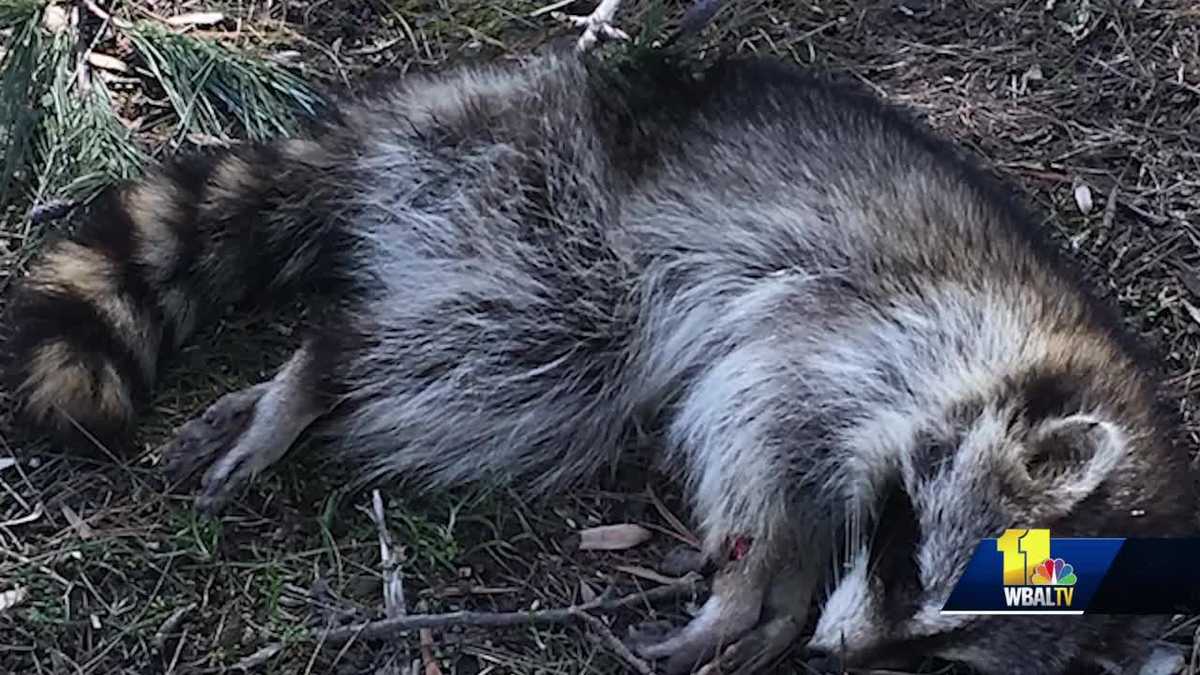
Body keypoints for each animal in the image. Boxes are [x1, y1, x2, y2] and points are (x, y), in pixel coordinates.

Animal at [4, 50, 1196, 675]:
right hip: (556, 214)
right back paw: (320, 371)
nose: (832, 654)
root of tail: (517, 91)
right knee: (513, 350)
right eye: (909, 564)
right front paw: (755, 587)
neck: (1032, 356)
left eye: (933, 657)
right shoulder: (849, 328)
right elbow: (758, 418)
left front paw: (785, 600)